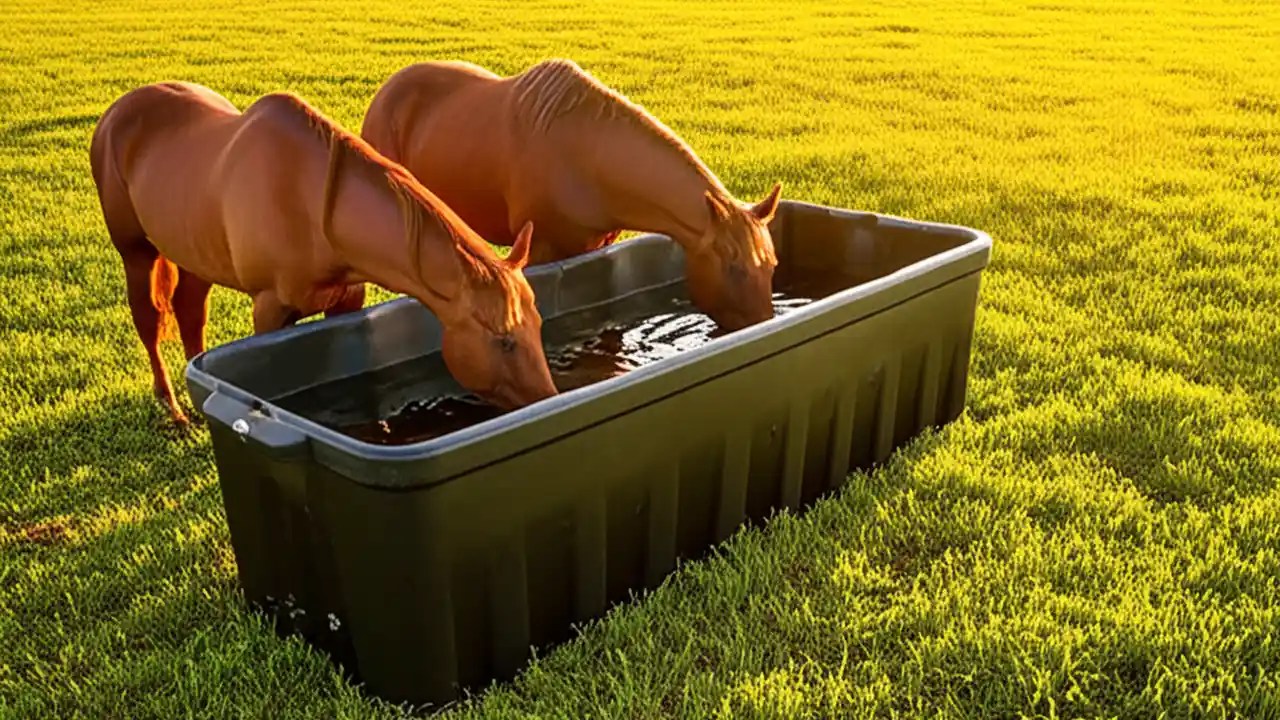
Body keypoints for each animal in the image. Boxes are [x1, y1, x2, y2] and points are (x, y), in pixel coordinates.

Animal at [89, 81, 558, 426]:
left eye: (537, 325)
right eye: (504, 341)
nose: (548, 399)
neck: (309, 201)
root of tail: (117, 112)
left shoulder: (346, 299)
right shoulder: (269, 308)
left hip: (193, 252)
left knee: (189, 311)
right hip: (136, 252)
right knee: (148, 321)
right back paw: (173, 408)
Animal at [360, 58, 783, 332]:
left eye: (772, 264)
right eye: (735, 267)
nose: (763, 324)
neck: (585, 159)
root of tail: (388, 90)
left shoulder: (597, 244)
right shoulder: (540, 251)